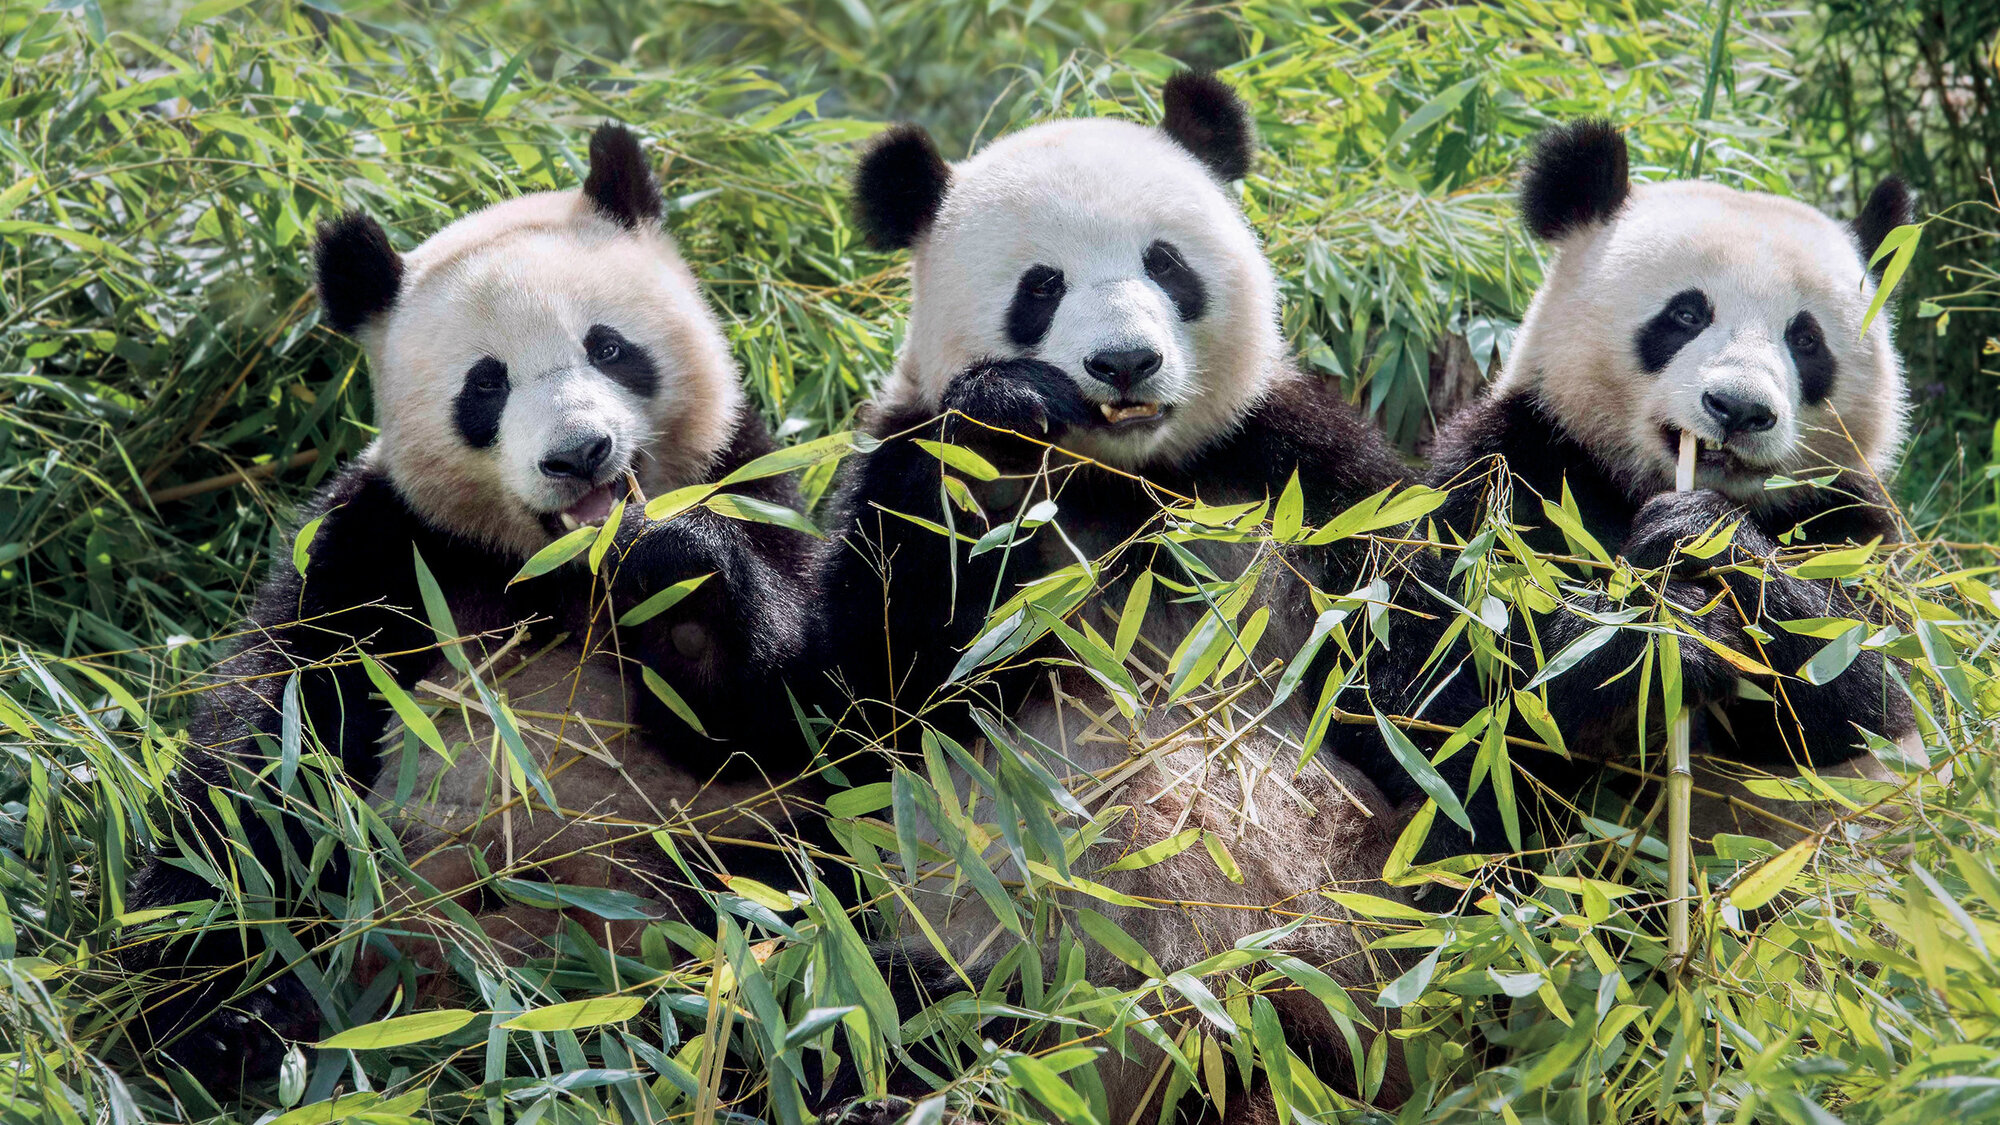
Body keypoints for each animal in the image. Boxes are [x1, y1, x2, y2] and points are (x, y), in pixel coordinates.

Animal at [125, 125, 819, 1088]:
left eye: (609, 347)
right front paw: (218, 1014)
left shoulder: (752, 478)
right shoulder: (384, 544)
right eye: (485, 385)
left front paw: (674, 580)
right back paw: (238, 1025)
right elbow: (271, 743)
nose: (580, 452)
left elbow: (786, 708)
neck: (559, 566)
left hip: (724, 883)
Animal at [807, 74, 1416, 1123]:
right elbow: (866, 695)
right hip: (970, 960)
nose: (1125, 362)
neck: (1122, 477)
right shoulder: (907, 473)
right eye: (1040, 286)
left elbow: (1427, 677)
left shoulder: (1296, 469)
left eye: (1166, 263)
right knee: (888, 1021)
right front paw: (1005, 405)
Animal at [1352, 119, 1917, 863]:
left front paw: (1701, 536)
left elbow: (1867, 691)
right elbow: (1432, 689)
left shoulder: (1848, 521)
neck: (1636, 483)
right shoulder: (1515, 468)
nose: (1739, 408)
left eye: (1805, 338)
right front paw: (1667, 628)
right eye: (1685, 313)